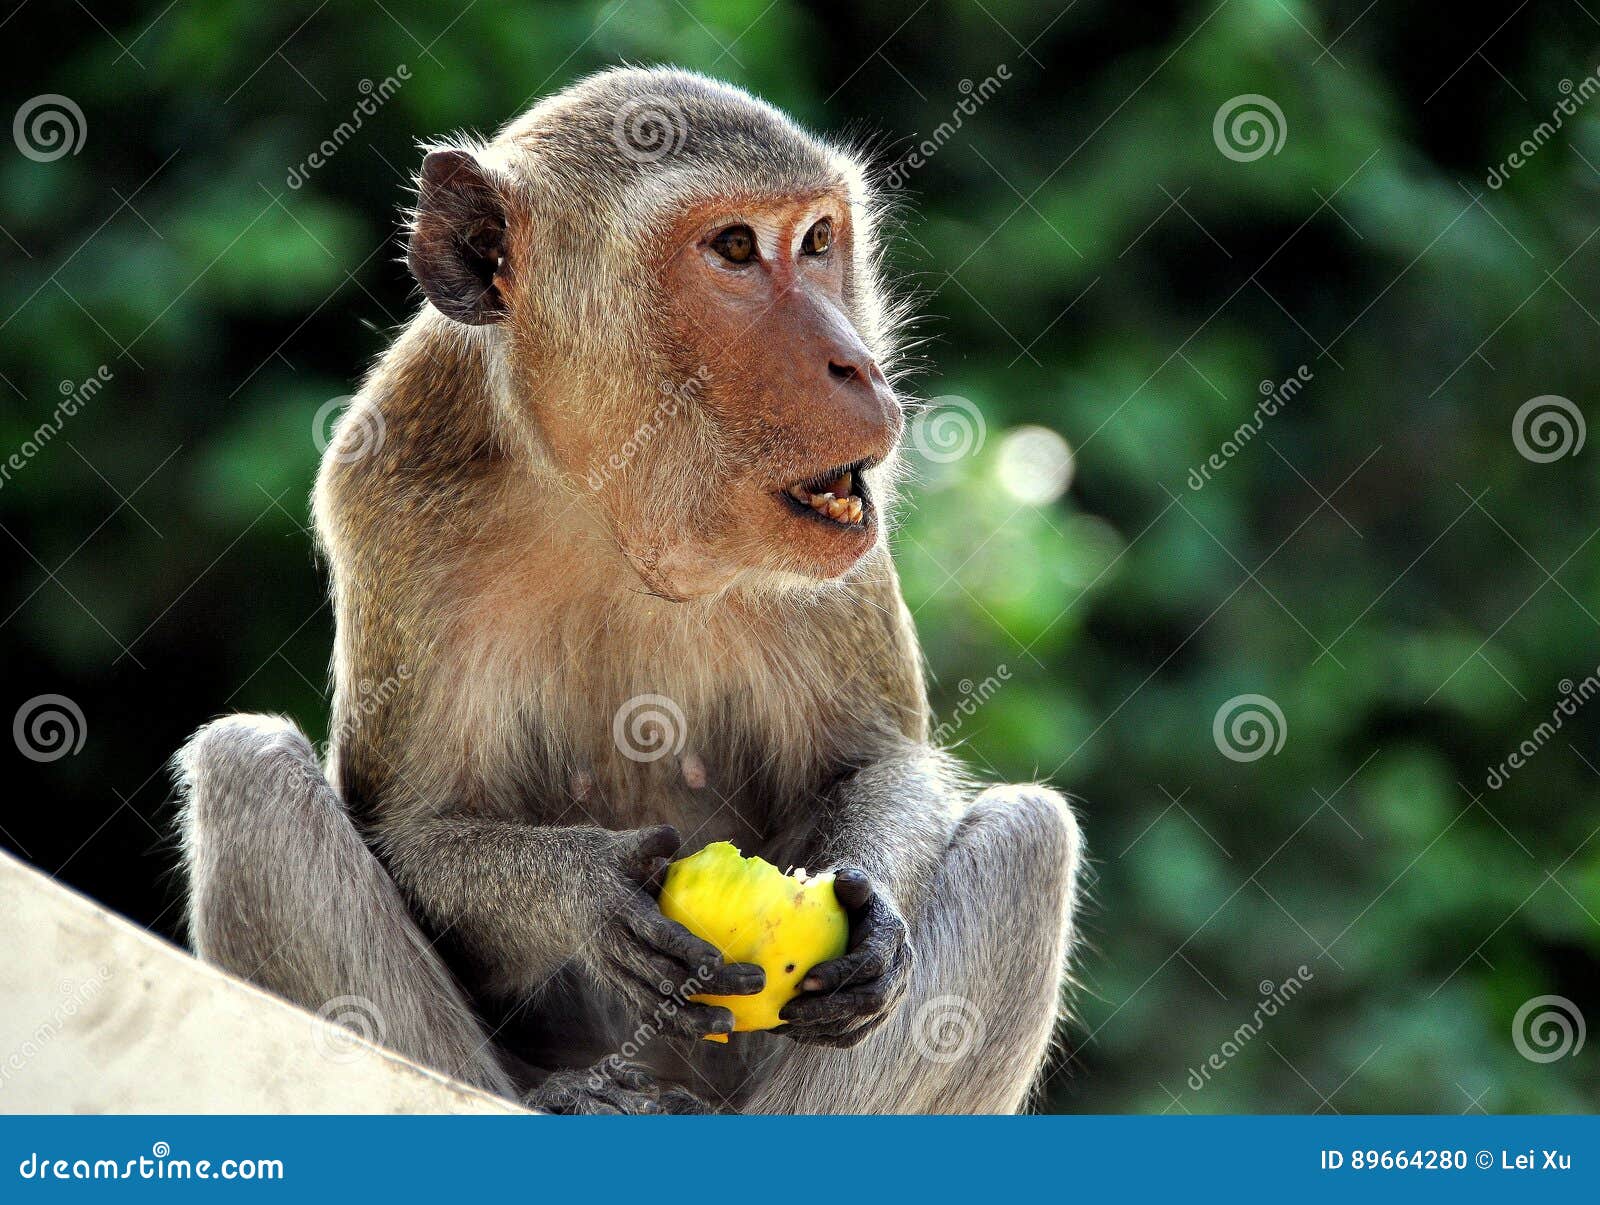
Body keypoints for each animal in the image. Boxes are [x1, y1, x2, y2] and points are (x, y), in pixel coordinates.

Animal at [175, 66, 1083, 1115]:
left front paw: (879, 919)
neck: (612, 505)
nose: (857, 365)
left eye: (818, 240)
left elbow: (873, 764)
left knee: (1031, 840)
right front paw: (580, 892)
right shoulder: (392, 494)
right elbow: (409, 827)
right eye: (734, 248)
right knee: (248, 770)